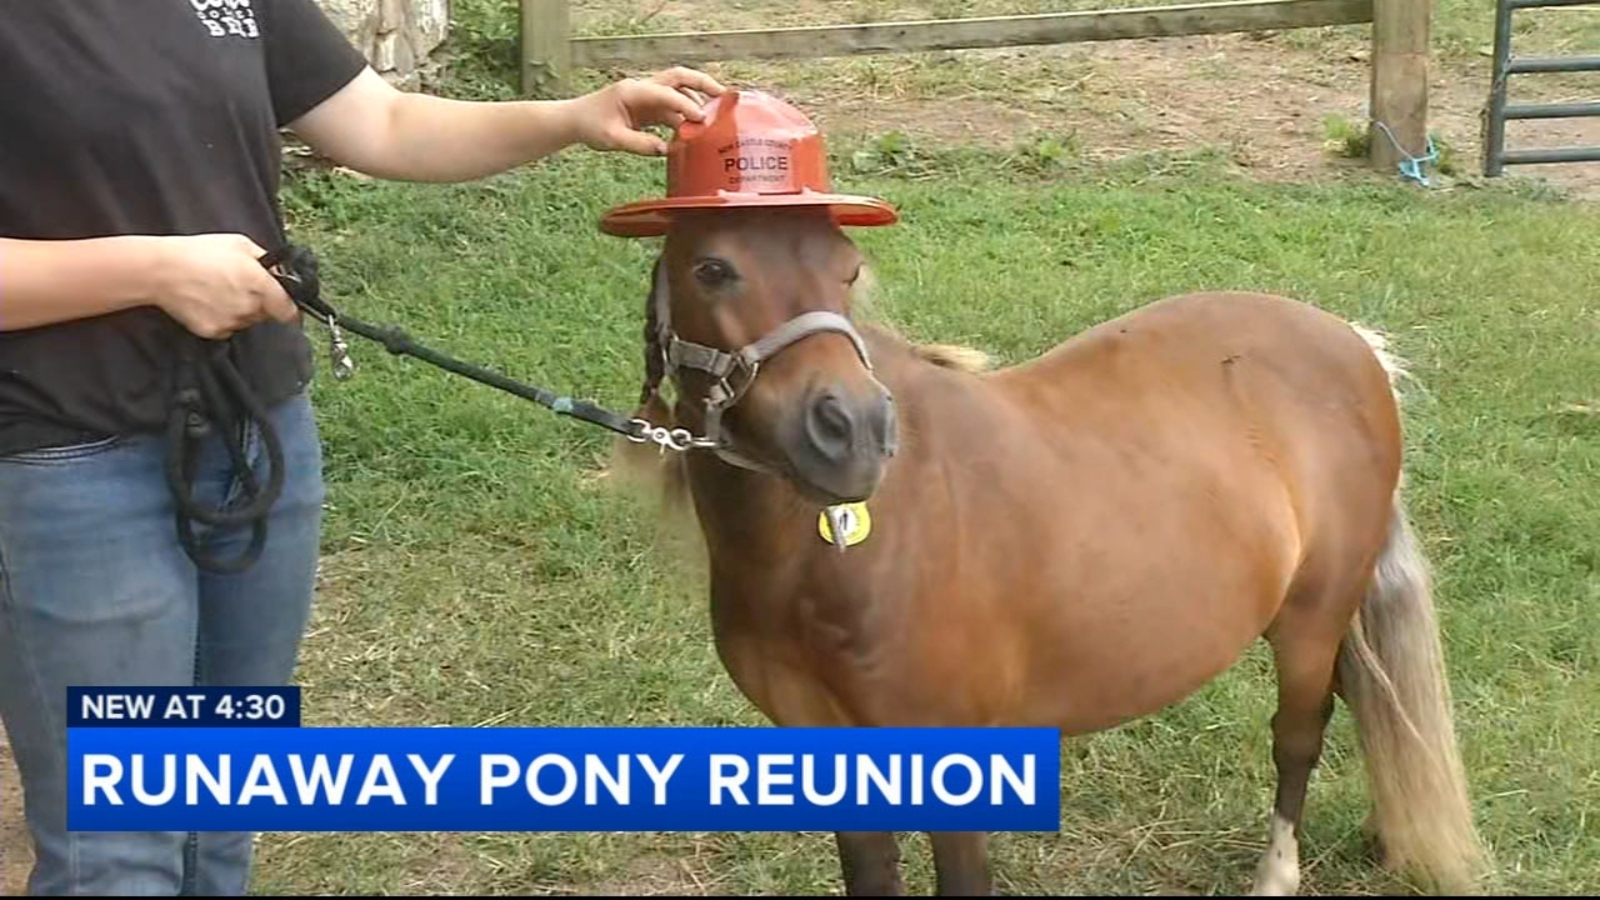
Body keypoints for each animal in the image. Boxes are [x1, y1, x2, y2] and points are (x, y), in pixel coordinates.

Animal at [607, 204, 1488, 896]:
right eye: (713, 268)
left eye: (846, 271)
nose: (850, 432)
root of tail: (1354, 343)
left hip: (1310, 619)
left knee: (1299, 735)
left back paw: (1277, 875)